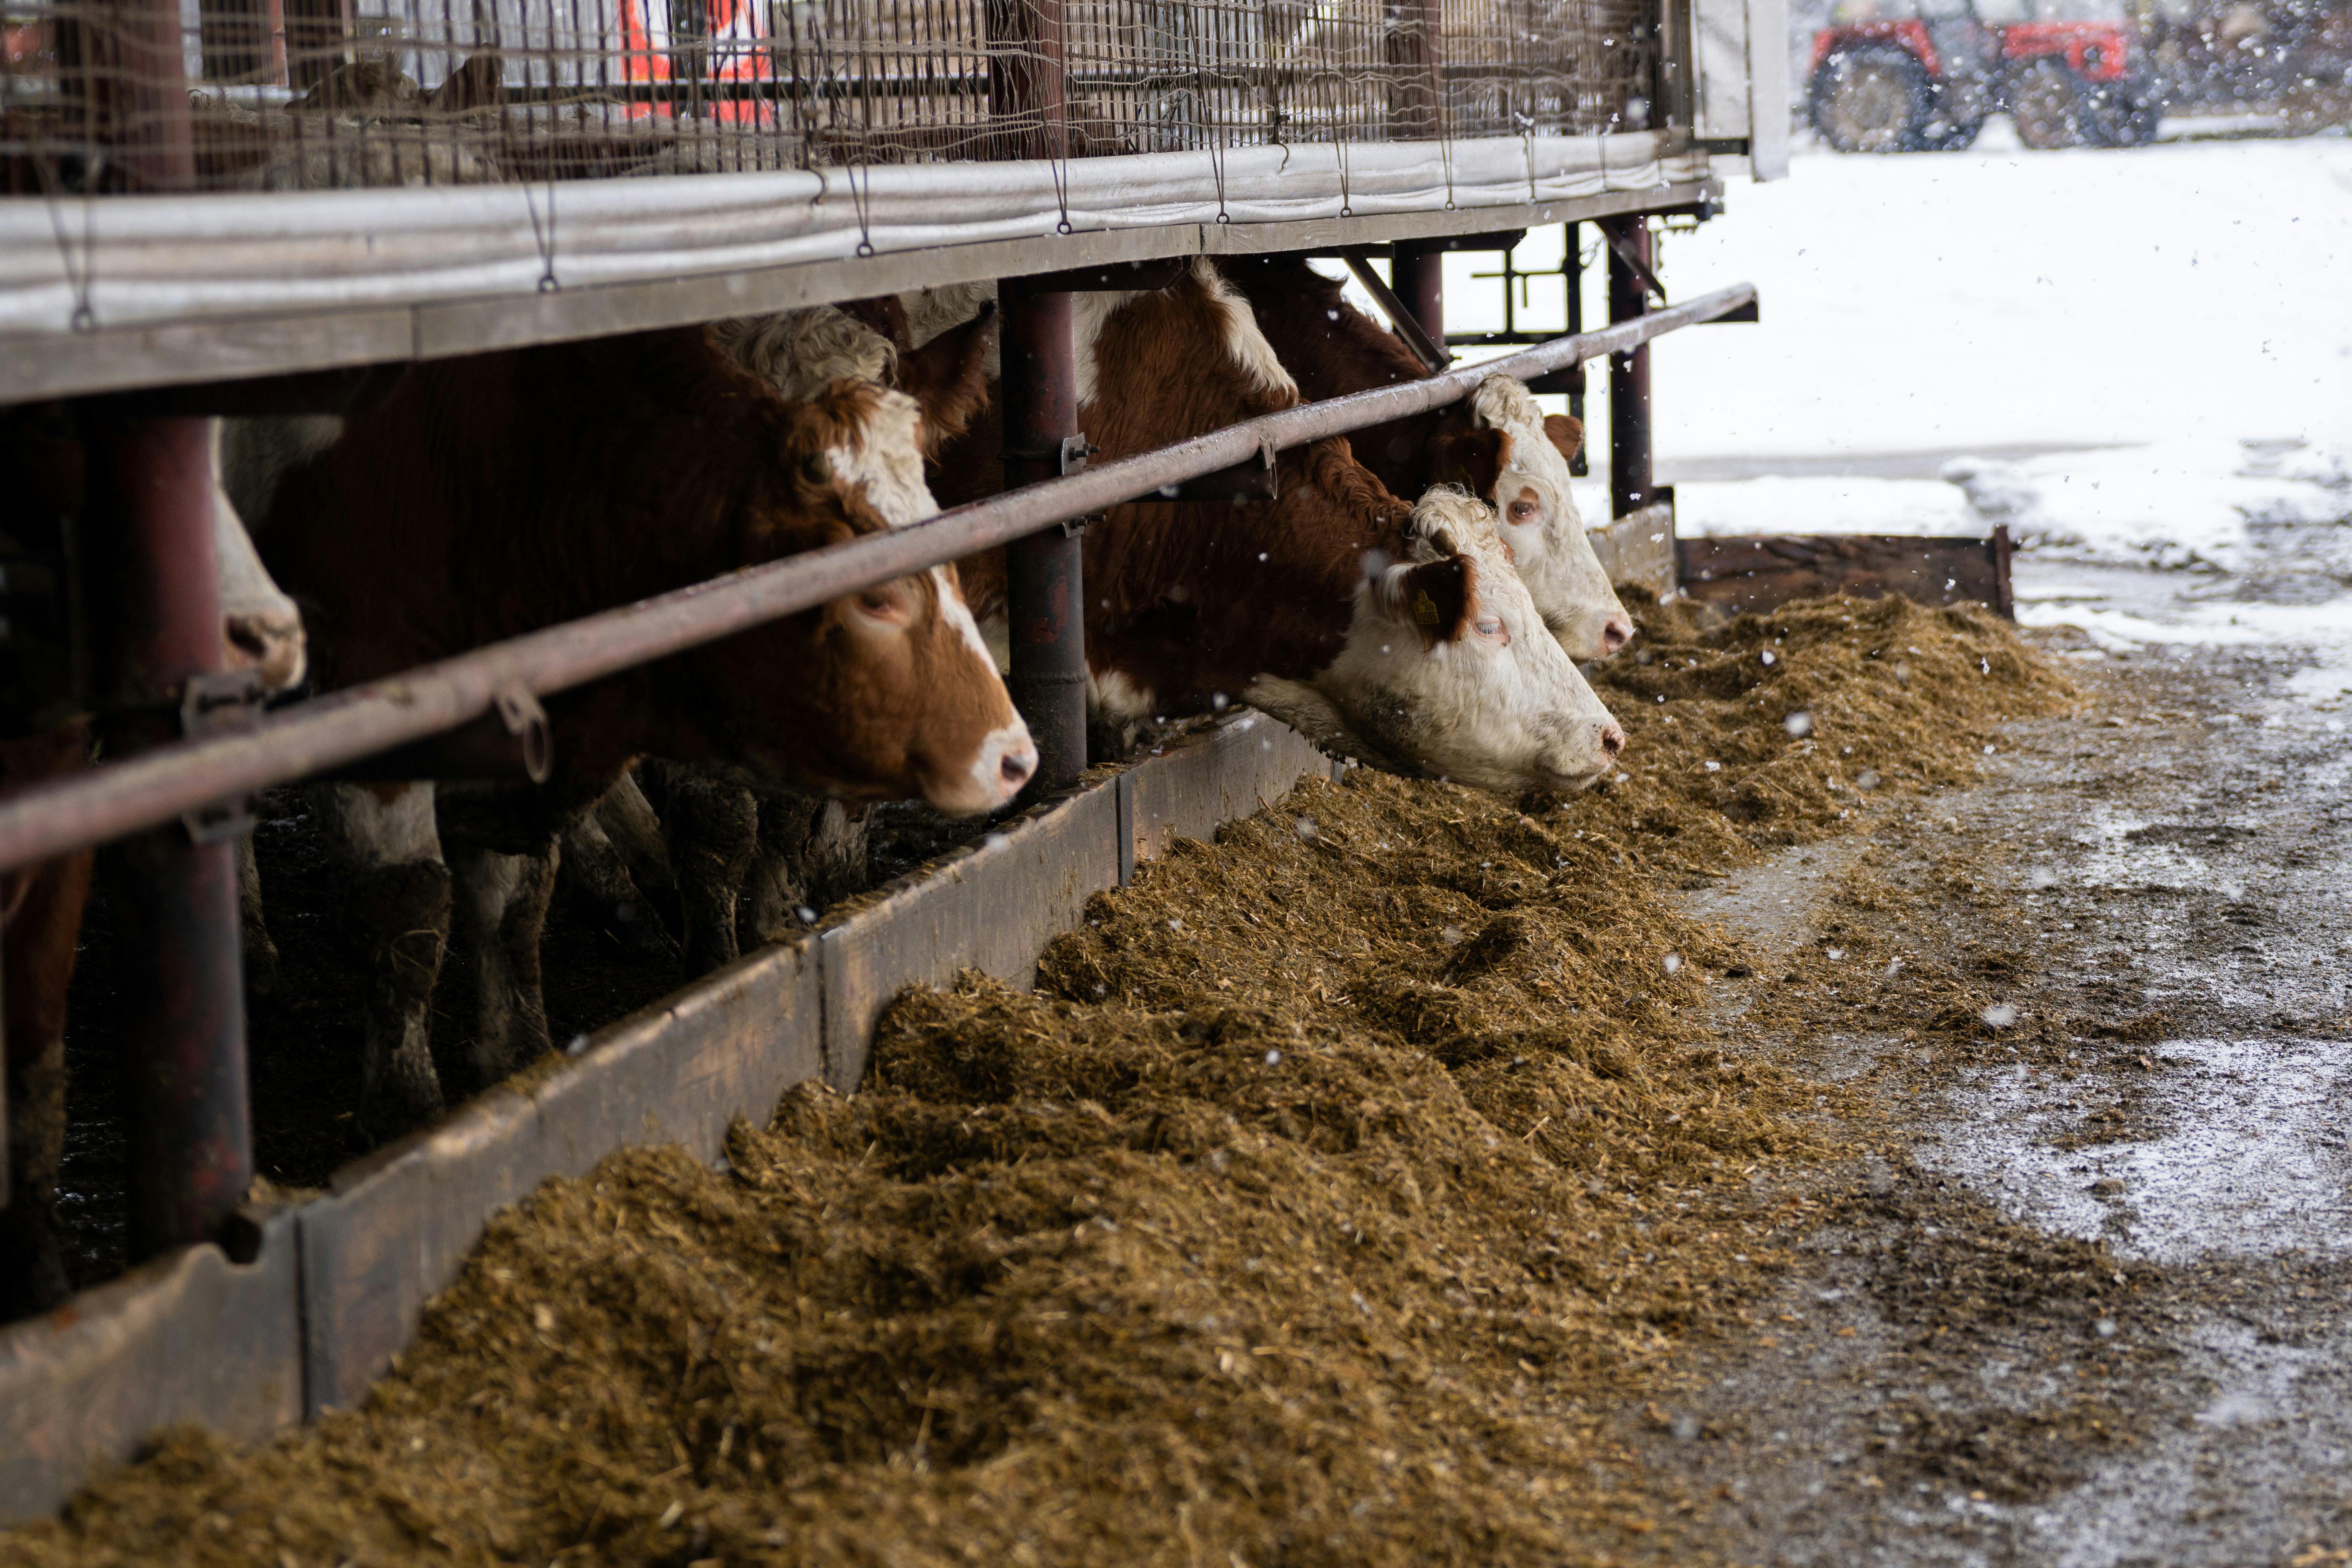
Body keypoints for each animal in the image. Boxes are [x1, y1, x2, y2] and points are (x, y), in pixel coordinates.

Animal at [247, 325, 1031, 1125]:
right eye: (873, 597)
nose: (1011, 753)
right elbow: (405, 904)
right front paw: (409, 1112)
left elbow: (518, 903)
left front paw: (521, 1066)